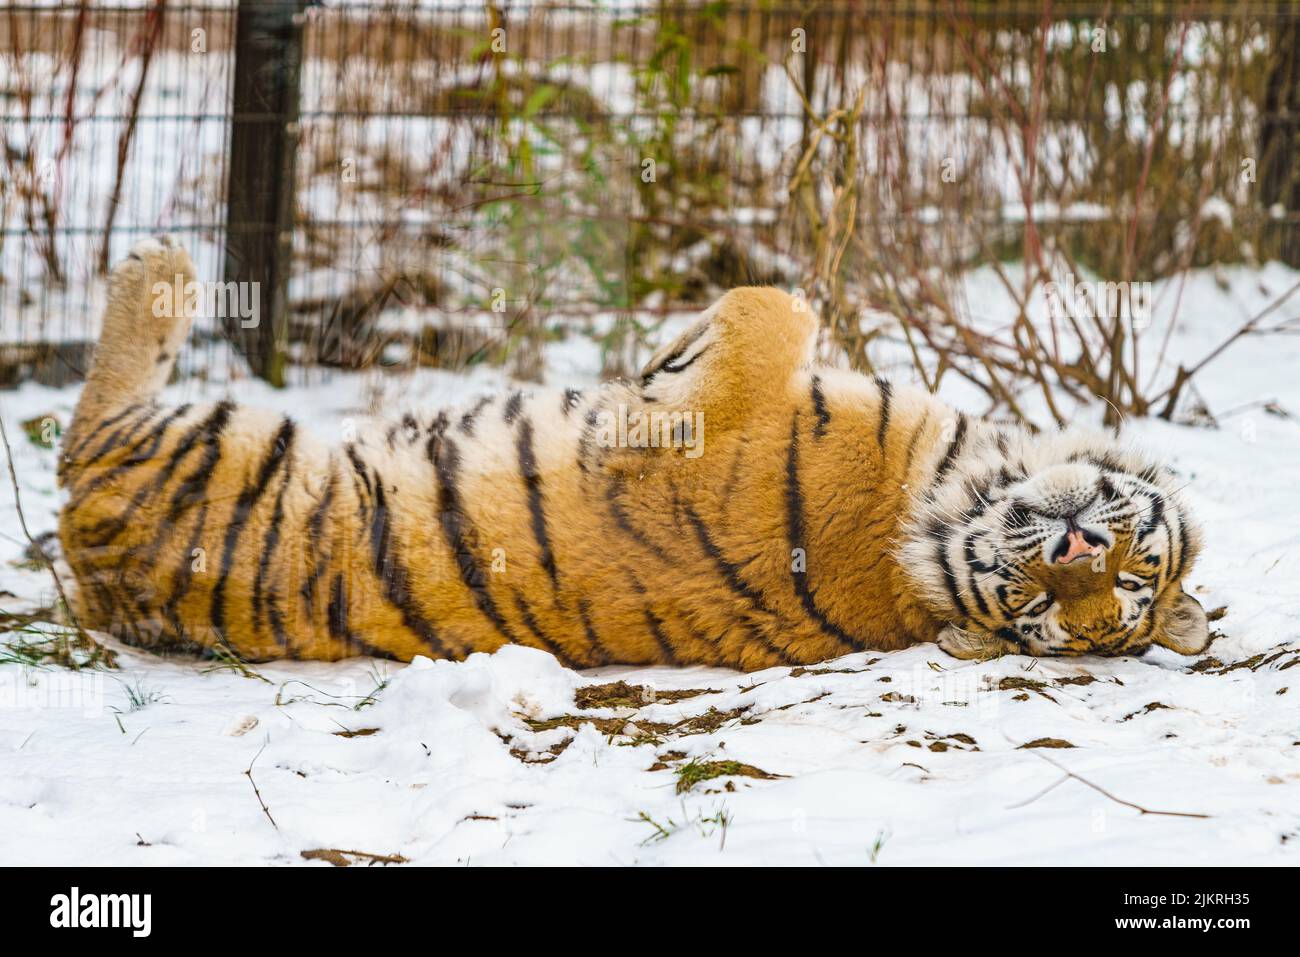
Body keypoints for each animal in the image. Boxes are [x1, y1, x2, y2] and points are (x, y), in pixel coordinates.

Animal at [56, 237, 1210, 669]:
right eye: (1124, 575)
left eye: (1069, 605)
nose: (1072, 549)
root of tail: (98, 595)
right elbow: (775, 310)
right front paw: (664, 347)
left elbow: (772, 313)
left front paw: (668, 356)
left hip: (200, 447)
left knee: (87, 421)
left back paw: (158, 266)